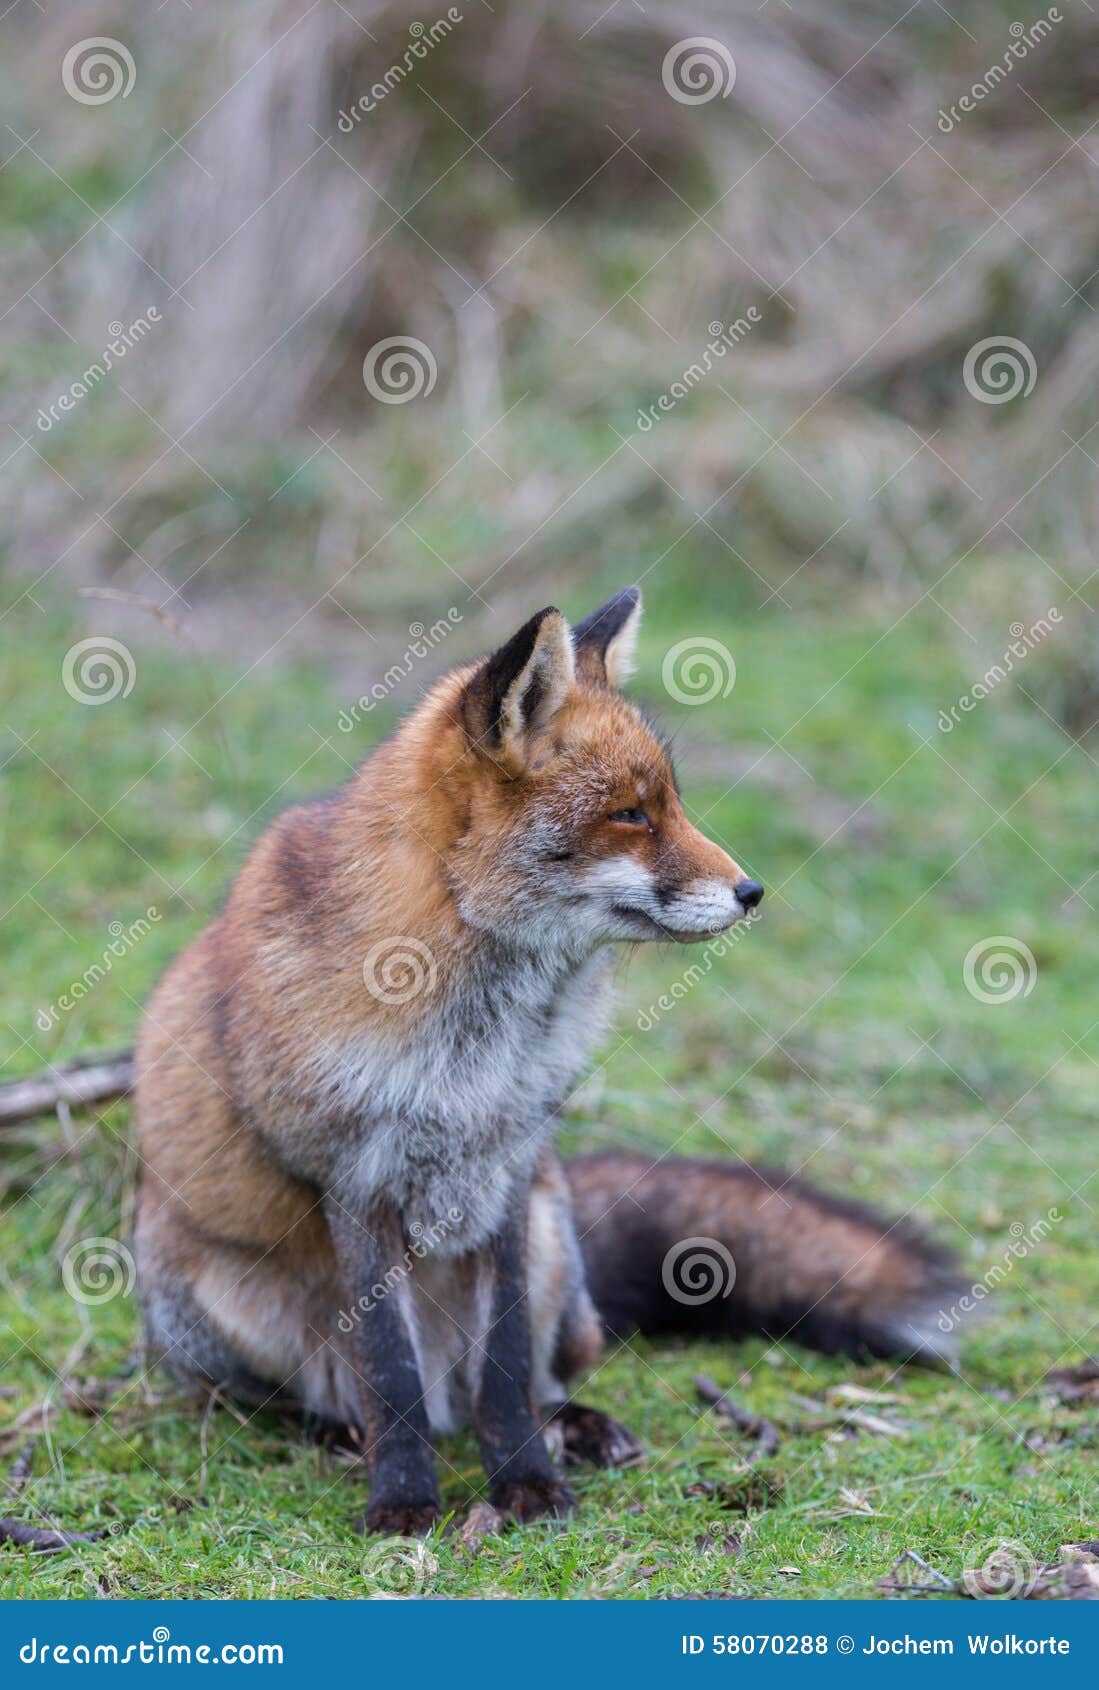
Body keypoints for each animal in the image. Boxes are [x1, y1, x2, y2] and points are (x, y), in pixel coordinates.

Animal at [129, 587, 957, 1538]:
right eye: (631, 814)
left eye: (672, 804)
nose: (752, 892)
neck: (482, 1036)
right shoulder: (356, 1179)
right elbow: (390, 1371)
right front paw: (402, 1501)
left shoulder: (510, 1166)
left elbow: (506, 1363)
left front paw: (525, 1481)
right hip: (214, 1315)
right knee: (320, 1399)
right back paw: (339, 1435)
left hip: (556, 1241)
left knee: (539, 1372)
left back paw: (574, 1427)